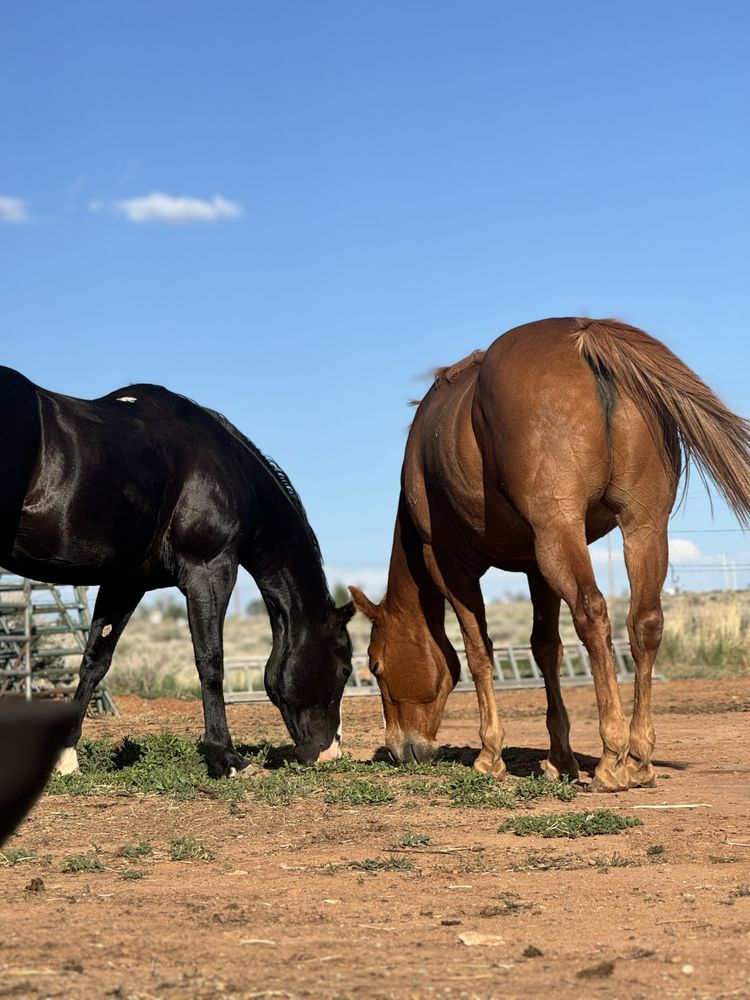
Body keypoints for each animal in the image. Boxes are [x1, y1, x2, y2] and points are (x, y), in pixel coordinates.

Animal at [0, 366, 354, 777]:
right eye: (345, 667)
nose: (330, 751)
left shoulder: (124, 582)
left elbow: (94, 661)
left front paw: (65, 755)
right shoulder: (210, 570)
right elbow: (211, 661)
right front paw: (226, 757)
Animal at [350, 318, 750, 792]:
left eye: (374, 666)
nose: (399, 750)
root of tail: (586, 332)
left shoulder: (449, 565)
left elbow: (478, 650)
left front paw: (491, 755)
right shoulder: (534, 567)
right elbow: (546, 650)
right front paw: (560, 759)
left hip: (560, 529)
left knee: (593, 613)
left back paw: (612, 760)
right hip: (642, 526)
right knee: (644, 623)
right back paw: (638, 758)